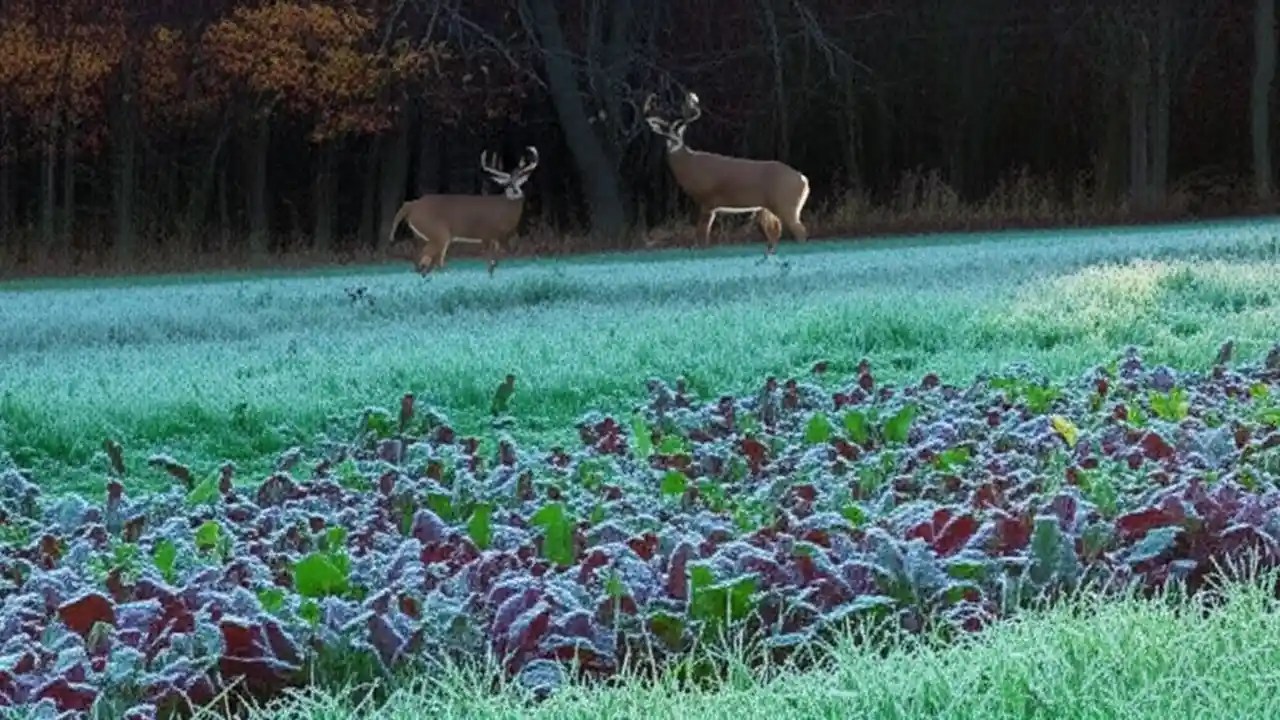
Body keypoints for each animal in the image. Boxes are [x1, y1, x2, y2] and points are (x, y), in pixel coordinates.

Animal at [388, 146, 539, 277]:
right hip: (438, 231)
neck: (505, 211)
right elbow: (490, 261)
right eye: (507, 183)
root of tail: (411, 205)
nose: (514, 191)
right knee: (427, 261)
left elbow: (494, 263)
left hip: (426, 236)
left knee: (425, 262)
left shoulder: (497, 238)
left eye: (519, 182)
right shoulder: (487, 233)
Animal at [645, 91, 810, 264]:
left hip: (787, 205)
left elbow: (702, 236)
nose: (674, 142)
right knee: (775, 234)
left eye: (679, 128)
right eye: (665, 131)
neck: (691, 165)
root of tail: (804, 180)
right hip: (769, 209)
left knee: (800, 232)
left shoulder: (708, 201)